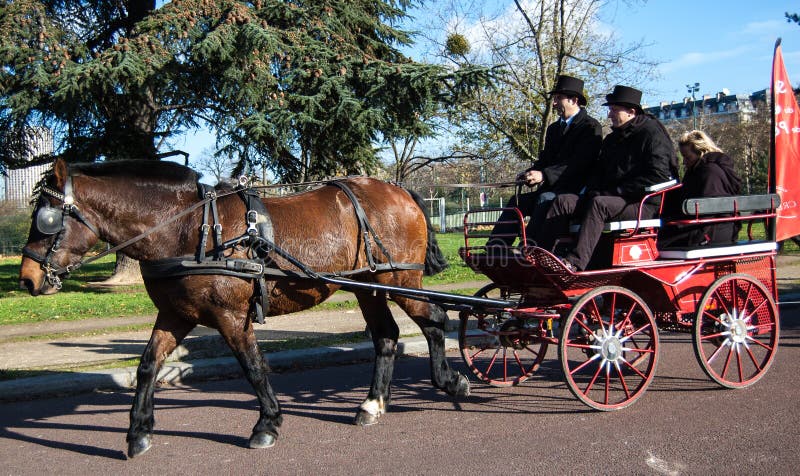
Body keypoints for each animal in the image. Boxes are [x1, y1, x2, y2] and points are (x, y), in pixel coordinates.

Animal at [19, 159, 470, 458]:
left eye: (46, 219)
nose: (27, 278)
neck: (189, 229)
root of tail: (398, 190)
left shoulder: (230, 316)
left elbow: (253, 367)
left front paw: (267, 424)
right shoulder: (176, 314)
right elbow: (148, 366)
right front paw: (138, 433)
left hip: (400, 280)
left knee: (434, 321)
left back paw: (451, 381)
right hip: (368, 287)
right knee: (387, 337)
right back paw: (373, 404)